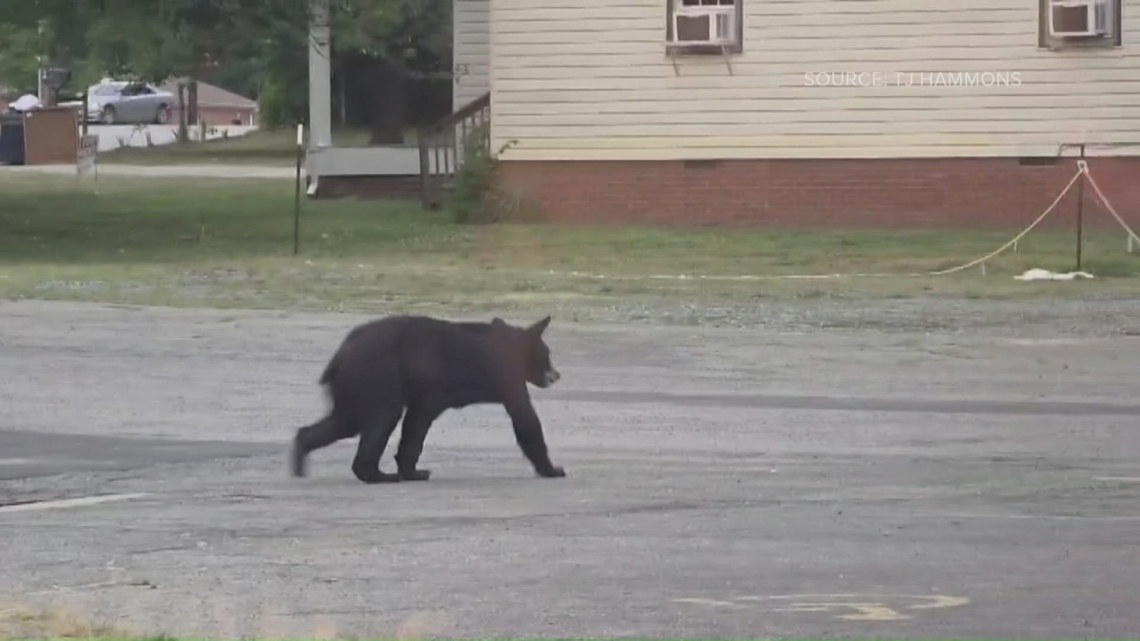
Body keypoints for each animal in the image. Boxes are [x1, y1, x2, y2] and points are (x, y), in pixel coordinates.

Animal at [290, 314, 566, 483]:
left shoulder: (429, 395)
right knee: (382, 418)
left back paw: (299, 460)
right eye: (547, 353)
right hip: (377, 376)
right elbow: (525, 417)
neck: (511, 346)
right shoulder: (506, 376)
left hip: (355, 385)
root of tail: (341, 354)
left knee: (344, 421)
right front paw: (552, 469)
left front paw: (412, 471)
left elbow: (416, 425)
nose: (556, 375)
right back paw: (378, 475)